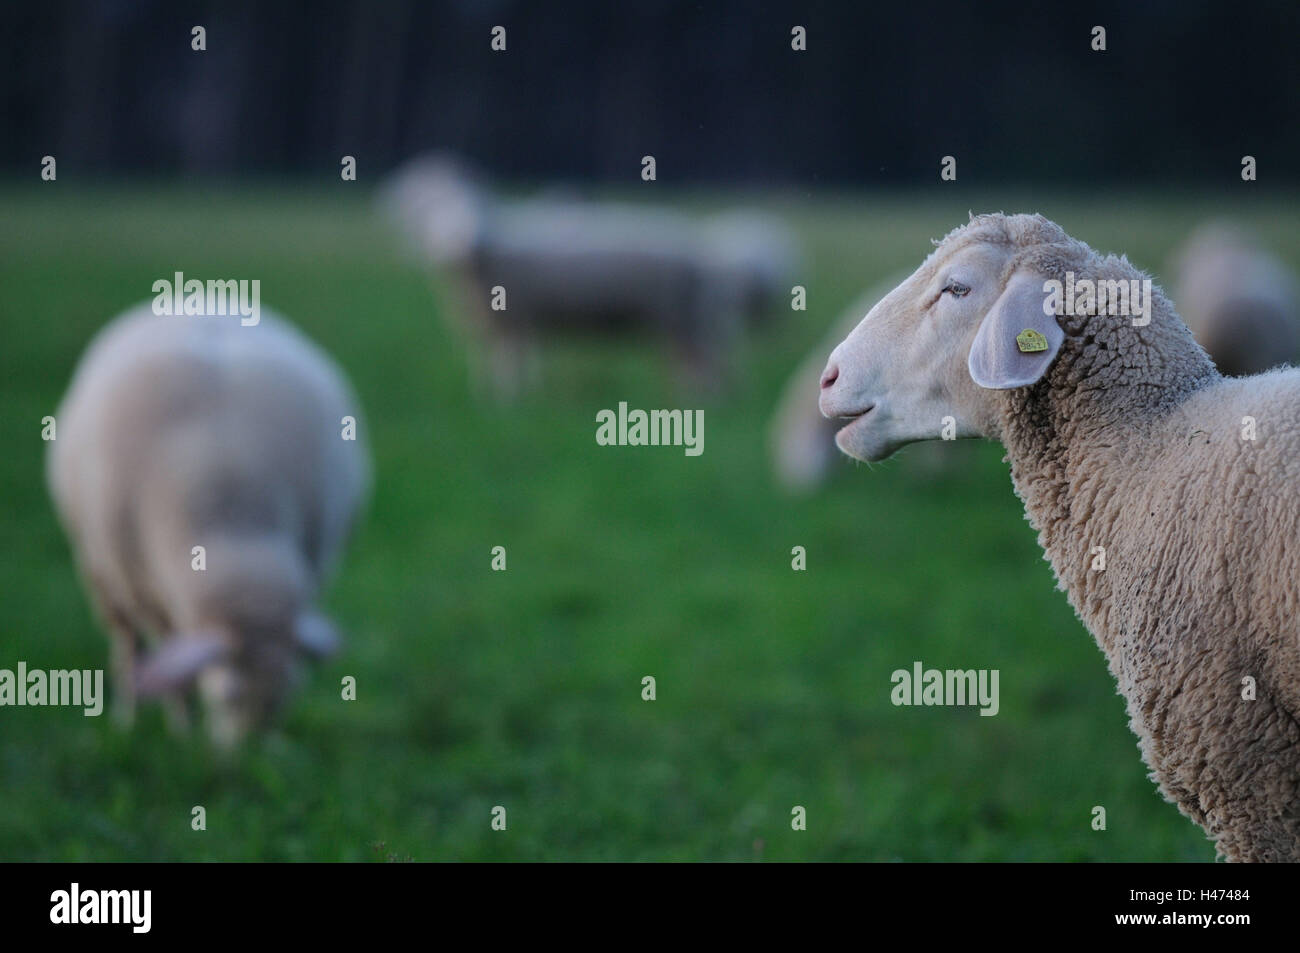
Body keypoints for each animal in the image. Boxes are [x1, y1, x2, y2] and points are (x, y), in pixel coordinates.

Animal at [47, 302, 369, 747]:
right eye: (227, 695)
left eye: (287, 694)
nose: (246, 755)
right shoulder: (145, 588)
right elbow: (168, 660)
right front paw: (182, 732)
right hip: (100, 569)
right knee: (127, 645)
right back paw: (127, 717)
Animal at [378, 154, 797, 398]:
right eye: (436, 214)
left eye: (477, 208)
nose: (466, 241)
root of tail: (711, 259)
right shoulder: (496, 324)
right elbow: (490, 361)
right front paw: (489, 397)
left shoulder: (516, 318)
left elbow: (510, 363)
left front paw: (508, 401)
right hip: (685, 321)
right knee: (699, 364)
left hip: (683, 317)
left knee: (709, 363)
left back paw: (706, 403)